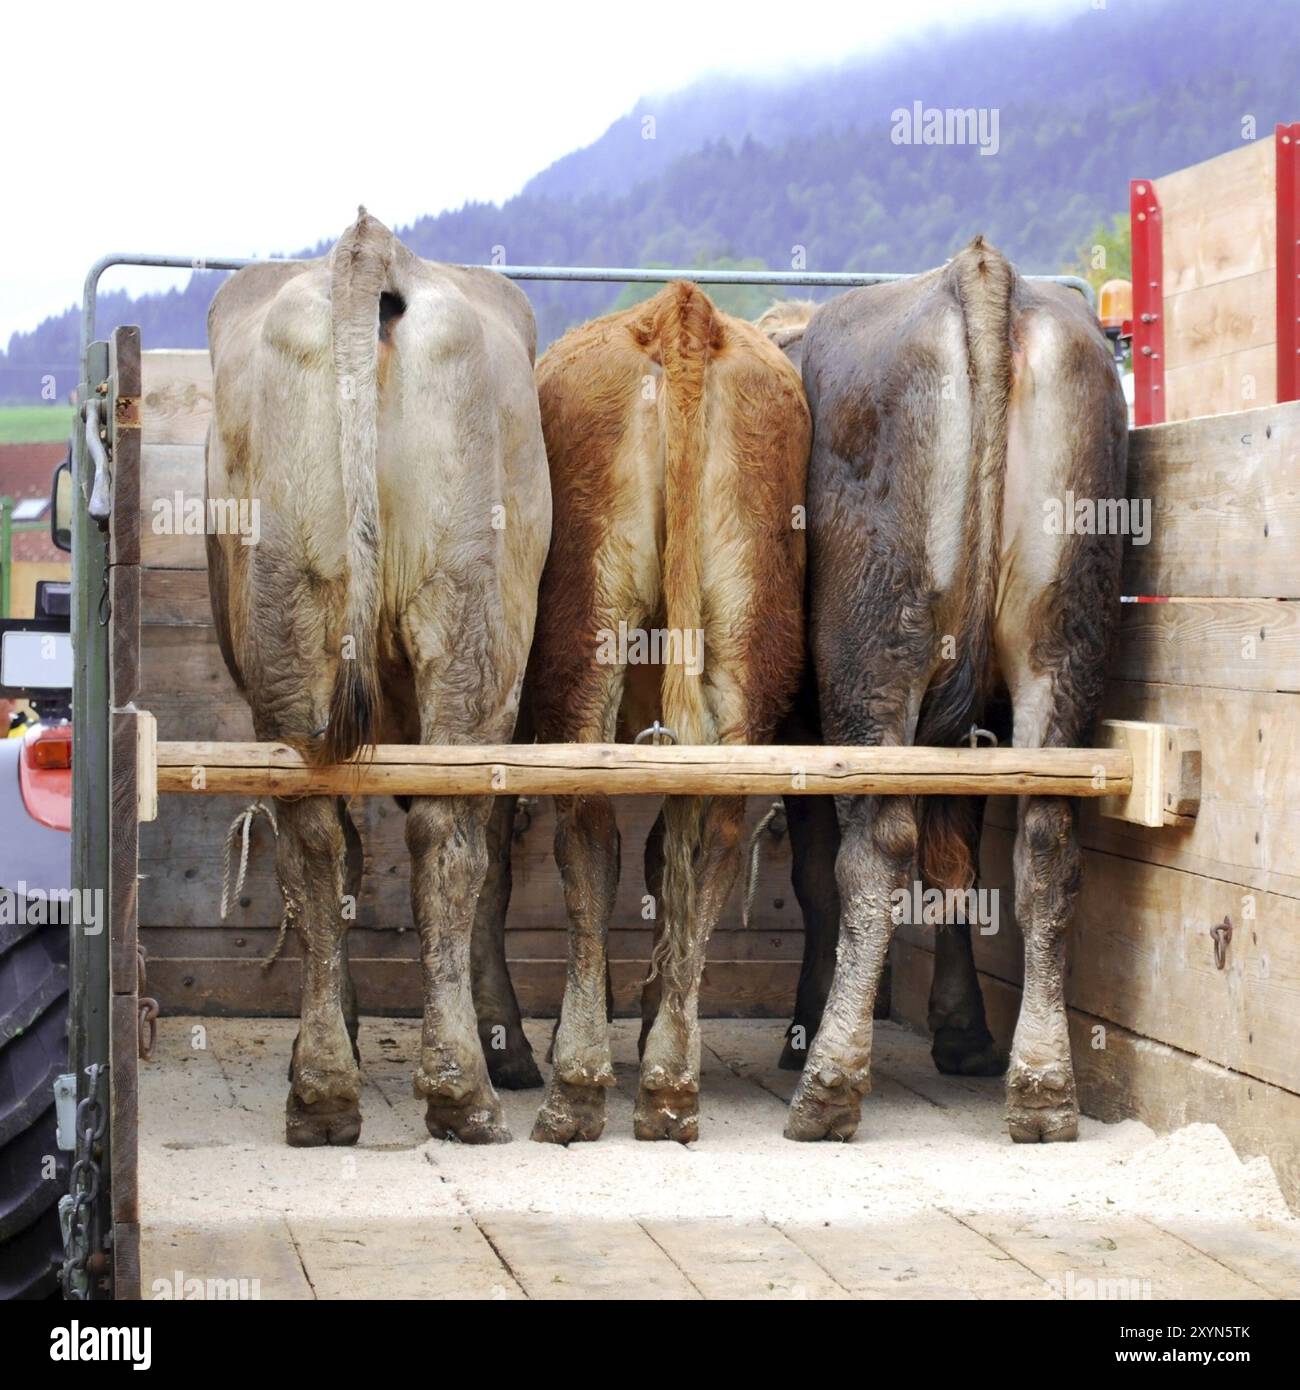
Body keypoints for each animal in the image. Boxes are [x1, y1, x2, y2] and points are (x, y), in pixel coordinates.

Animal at [205, 210, 551, 1146]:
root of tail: (372, 248)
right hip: (470, 638)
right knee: (446, 840)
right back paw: (462, 1089)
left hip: (292, 626)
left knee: (317, 841)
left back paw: (326, 1088)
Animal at [493, 281, 810, 1144]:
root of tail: (680, 311)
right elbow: (669, 853)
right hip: (746, 636)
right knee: (719, 833)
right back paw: (671, 1080)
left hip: (584, 632)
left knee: (587, 831)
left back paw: (577, 1083)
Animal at [766, 240, 1126, 1143]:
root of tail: (981, 270)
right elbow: (958, 866)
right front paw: (963, 1031)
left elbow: (818, 875)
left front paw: (806, 1025)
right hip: (1062, 644)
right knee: (1045, 849)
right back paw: (1043, 1088)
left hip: (871, 662)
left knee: (877, 850)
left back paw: (828, 1083)